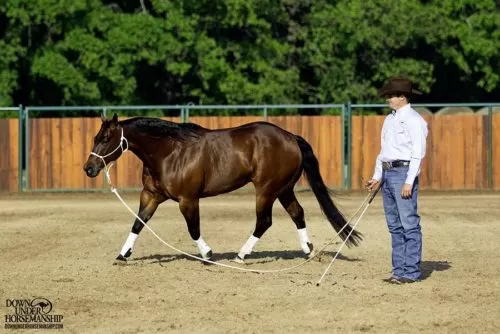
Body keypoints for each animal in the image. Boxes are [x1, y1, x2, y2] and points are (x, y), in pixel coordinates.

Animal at [83, 113, 364, 264]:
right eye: (95, 138)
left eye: (106, 139)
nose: (89, 168)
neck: (169, 152)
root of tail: (290, 137)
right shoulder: (151, 196)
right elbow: (138, 222)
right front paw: (123, 254)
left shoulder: (188, 199)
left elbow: (193, 228)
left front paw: (207, 254)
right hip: (283, 190)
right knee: (298, 214)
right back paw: (308, 251)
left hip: (266, 190)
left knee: (264, 221)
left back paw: (241, 254)